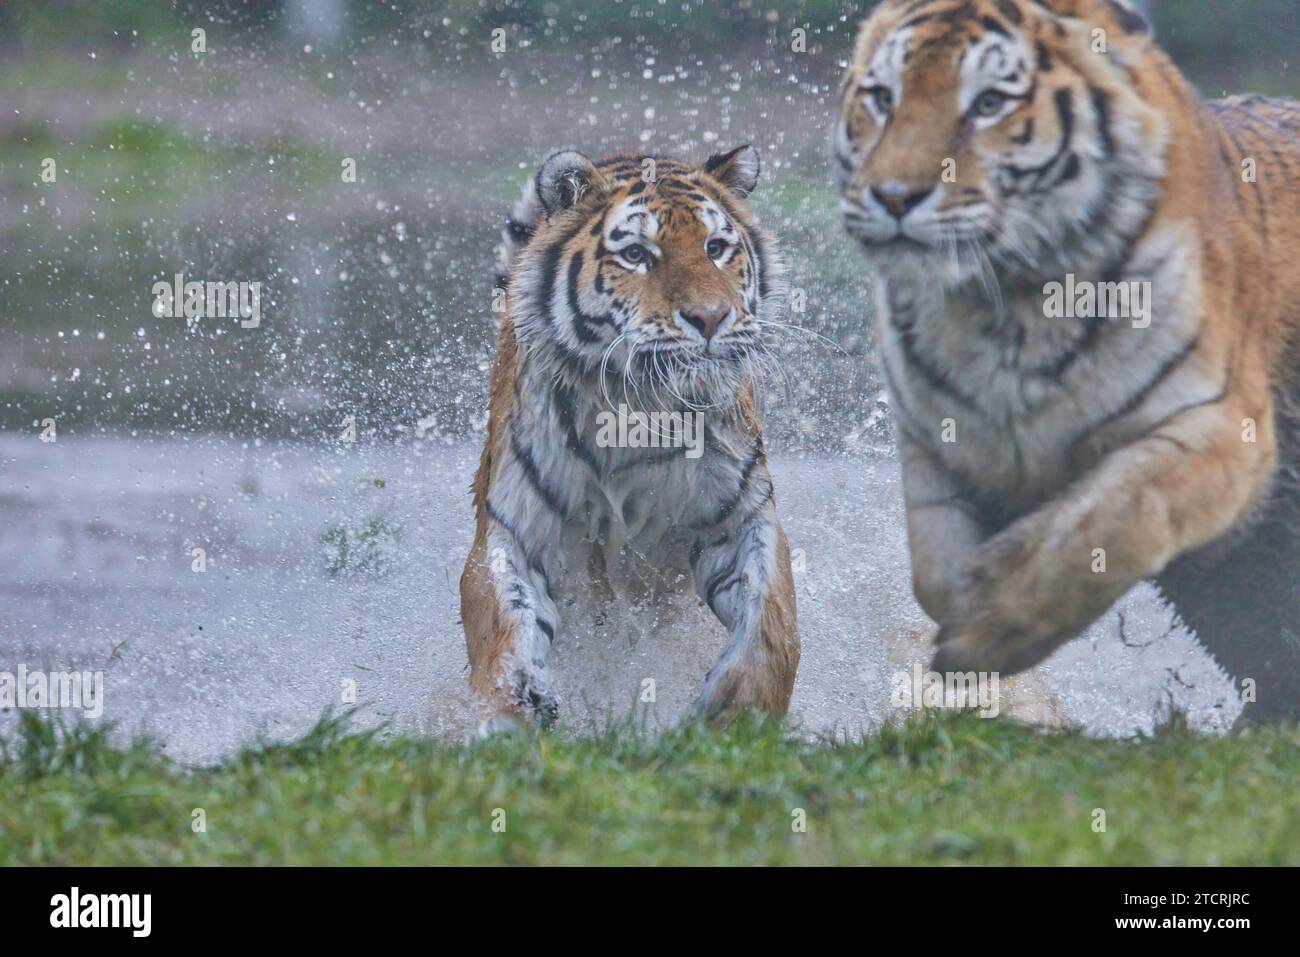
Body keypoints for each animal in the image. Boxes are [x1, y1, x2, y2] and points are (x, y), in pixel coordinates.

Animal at [460, 146, 799, 733]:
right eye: (638, 254)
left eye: (715, 248)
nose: (710, 318)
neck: (637, 410)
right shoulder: (514, 533)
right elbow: (503, 626)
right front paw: (514, 705)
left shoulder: (742, 519)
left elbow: (770, 633)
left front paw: (732, 718)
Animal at [834, 0, 1300, 719]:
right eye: (883, 98)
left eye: (989, 104)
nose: (893, 196)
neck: (1007, 308)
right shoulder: (933, 435)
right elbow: (933, 569)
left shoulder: (1225, 428)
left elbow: (1112, 517)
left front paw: (990, 627)